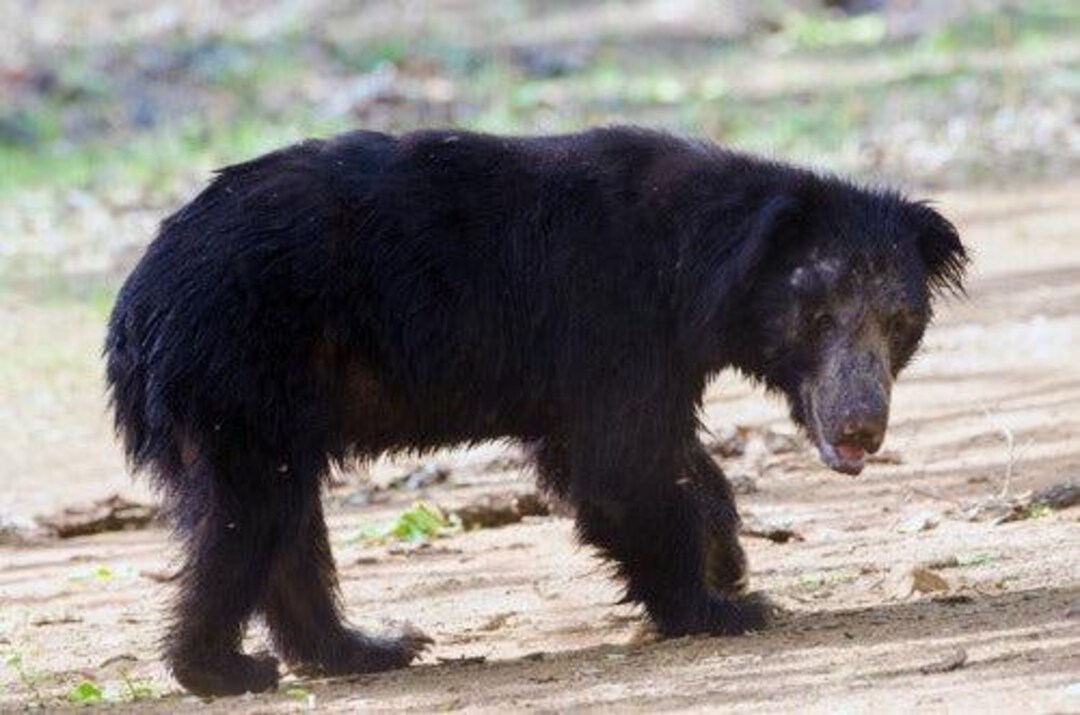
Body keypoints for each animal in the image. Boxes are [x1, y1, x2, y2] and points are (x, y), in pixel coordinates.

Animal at [104, 126, 967, 696]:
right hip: (243, 368)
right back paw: (223, 667)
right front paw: (721, 604)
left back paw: (364, 646)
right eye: (818, 315)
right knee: (246, 521)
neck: (700, 260)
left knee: (284, 523)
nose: (860, 425)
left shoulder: (640, 357)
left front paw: (728, 555)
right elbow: (622, 470)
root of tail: (137, 301)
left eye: (899, 321)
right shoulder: (614, 321)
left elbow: (656, 455)